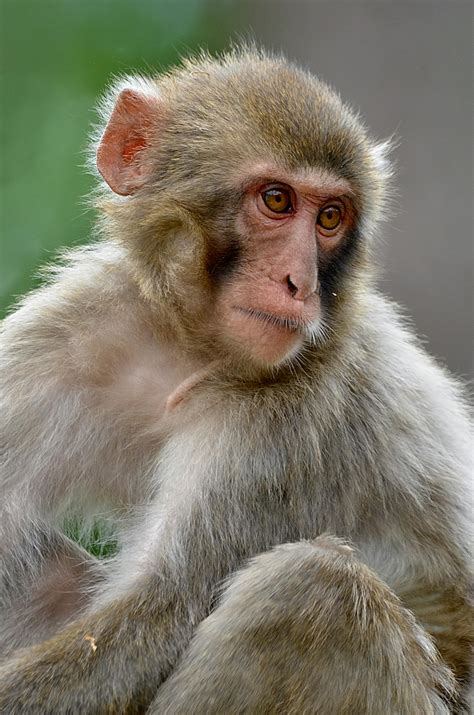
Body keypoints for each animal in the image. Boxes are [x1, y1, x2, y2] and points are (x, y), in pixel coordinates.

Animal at [0, 47, 472, 713]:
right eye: (276, 201)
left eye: (330, 217)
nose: (299, 282)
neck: (189, 349)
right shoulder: (65, 334)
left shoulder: (290, 423)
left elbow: (158, 616)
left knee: (314, 588)